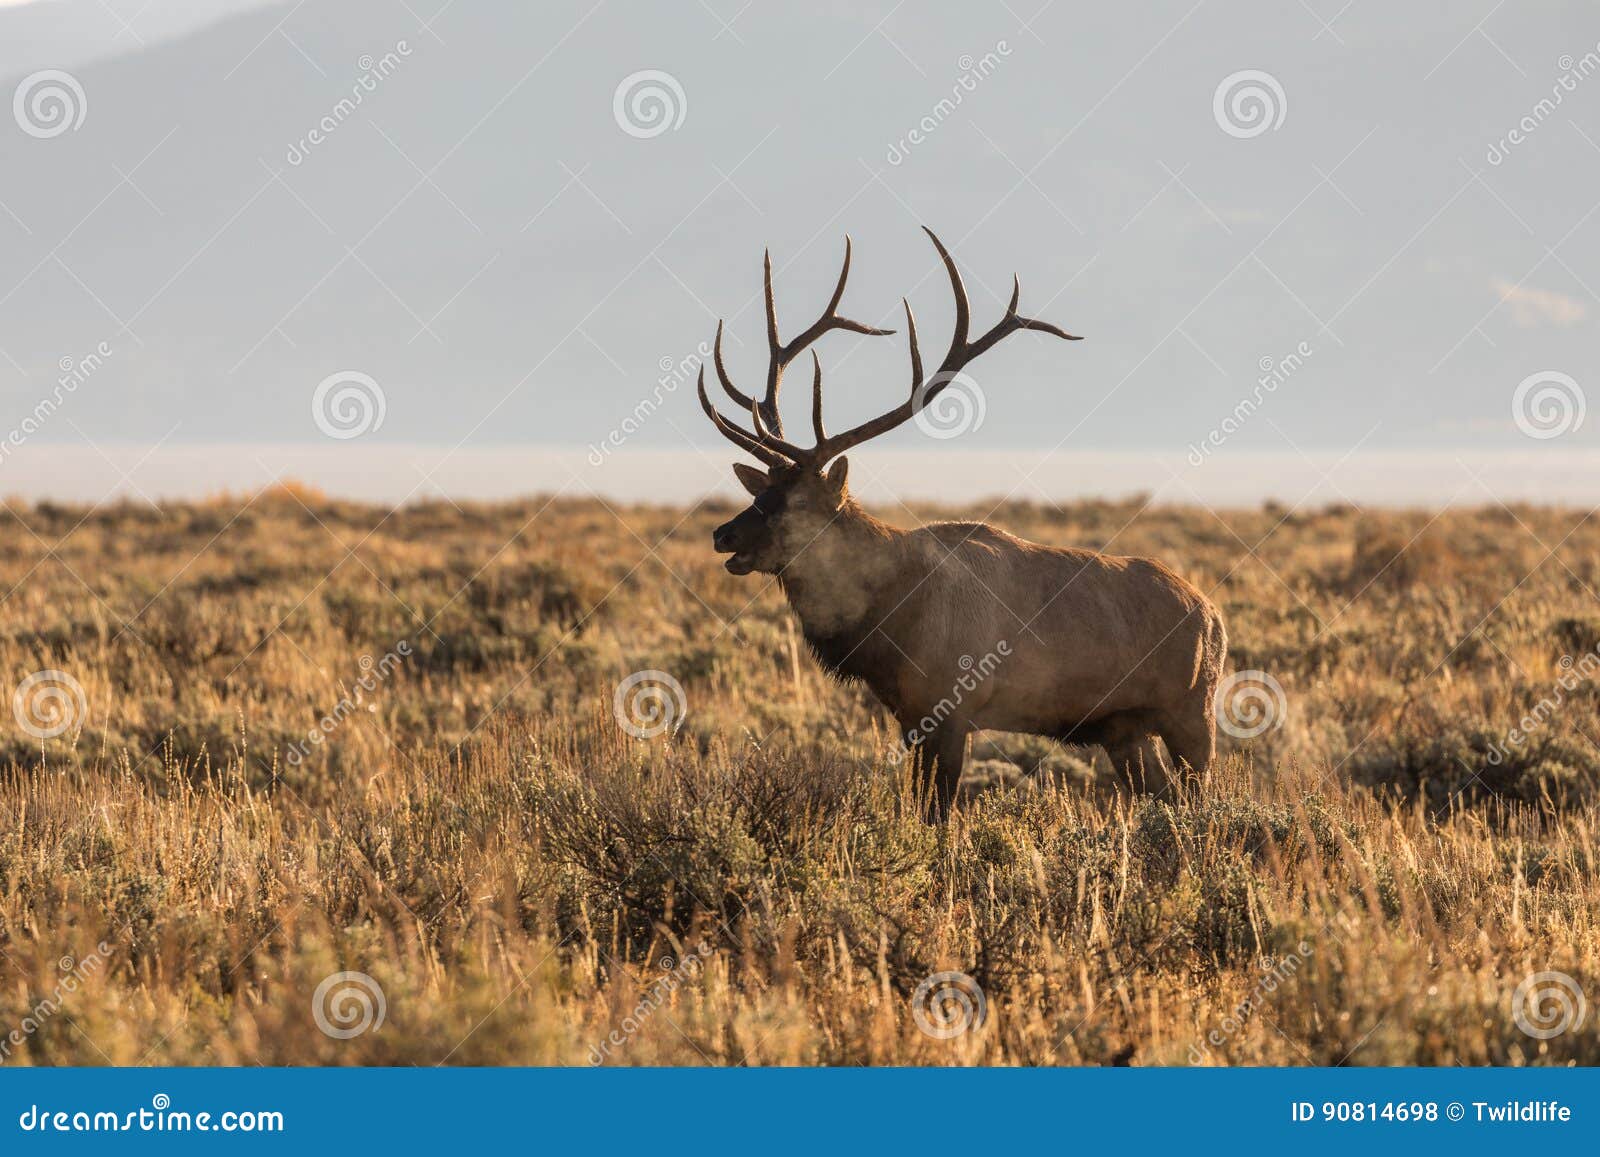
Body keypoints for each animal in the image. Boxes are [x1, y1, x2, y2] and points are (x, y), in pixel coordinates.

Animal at [700, 229, 1227, 819]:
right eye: (760, 491)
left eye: (798, 502)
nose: (724, 534)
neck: (885, 615)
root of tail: (1214, 617)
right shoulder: (910, 717)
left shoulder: (951, 709)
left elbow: (939, 816)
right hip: (1125, 729)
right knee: (1164, 799)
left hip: (1193, 713)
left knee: (1201, 800)